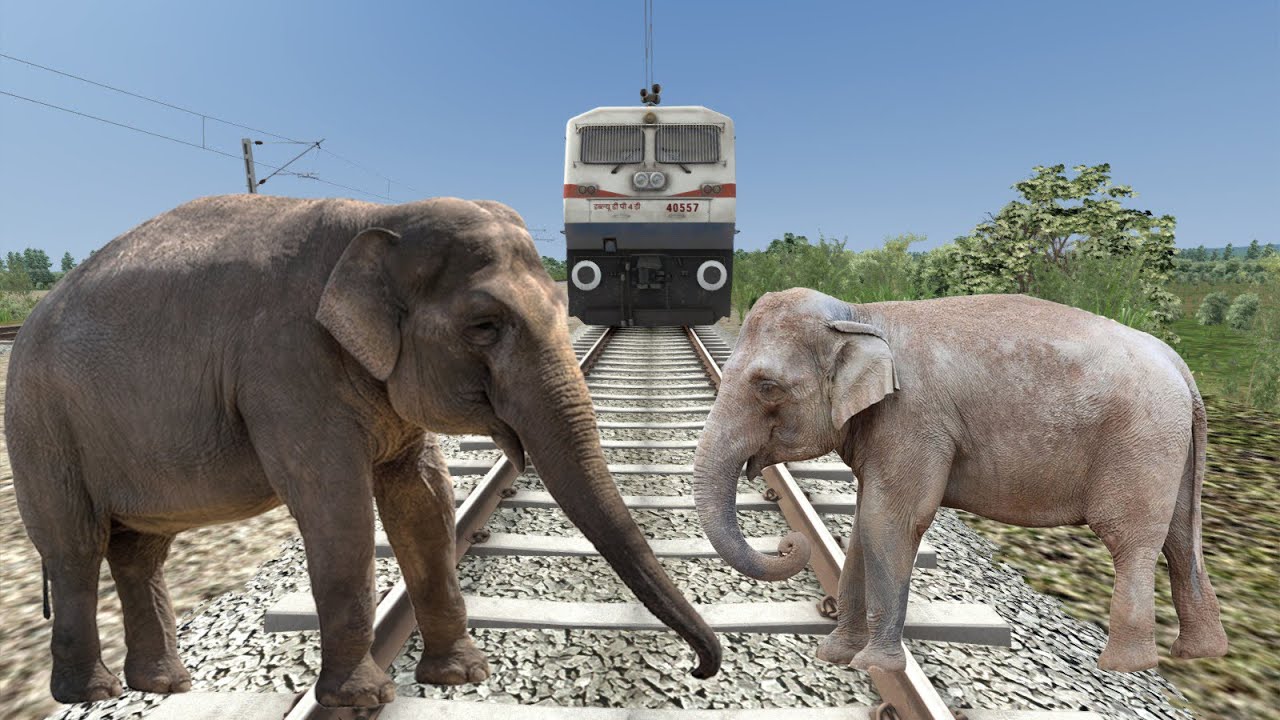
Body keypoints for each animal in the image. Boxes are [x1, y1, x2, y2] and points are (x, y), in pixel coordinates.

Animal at [7, 195, 720, 707]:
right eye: (485, 326)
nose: (699, 669)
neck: (379, 221)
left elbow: (425, 499)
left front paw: (461, 678)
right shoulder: (287, 367)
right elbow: (337, 507)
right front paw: (361, 699)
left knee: (139, 552)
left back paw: (164, 687)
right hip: (41, 426)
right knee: (76, 548)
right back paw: (93, 693)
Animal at [693, 287, 1227, 674]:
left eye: (768, 387)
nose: (789, 542)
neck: (861, 316)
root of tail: (1182, 368)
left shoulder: (913, 419)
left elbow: (891, 522)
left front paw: (874, 667)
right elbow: (866, 522)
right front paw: (835, 655)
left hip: (1141, 444)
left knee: (1131, 541)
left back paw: (1122, 666)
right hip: (1171, 451)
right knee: (1181, 539)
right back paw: (1198, 654)